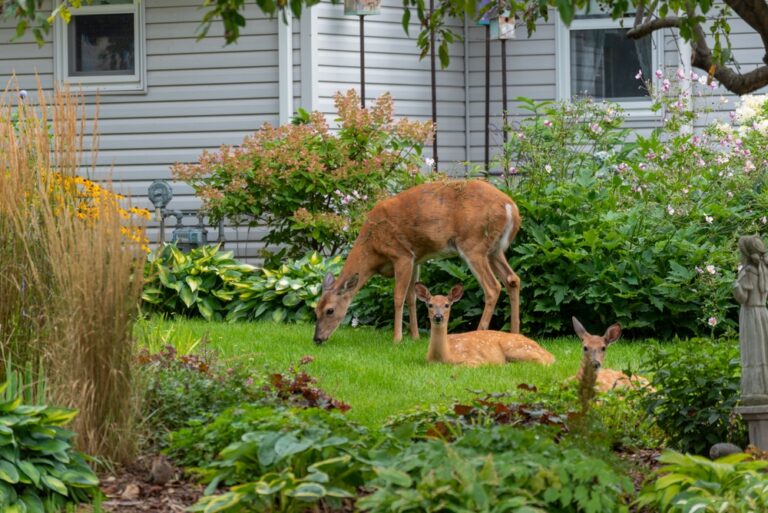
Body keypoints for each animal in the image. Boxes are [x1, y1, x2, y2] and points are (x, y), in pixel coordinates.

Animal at [313, 179, 522, 344]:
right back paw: (515, 334)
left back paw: (480, 333)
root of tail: (510, 207)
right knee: (512, 279)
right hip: (494, 249)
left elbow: (398, 297)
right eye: (316, 309)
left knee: (493, 287)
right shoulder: (416, 260)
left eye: (330, 310)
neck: (373, 247)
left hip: (473, 244)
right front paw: (414, 337)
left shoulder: (401, 255)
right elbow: (412, 297)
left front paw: (397, 338)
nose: (317, 339)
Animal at [414, 283, 554, 366]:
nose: (438, 317)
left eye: (447, 305)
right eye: (430, 305)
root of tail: (550, 355)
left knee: (541, 361)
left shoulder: (474, 360)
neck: (444, 356)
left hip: (517, 349)